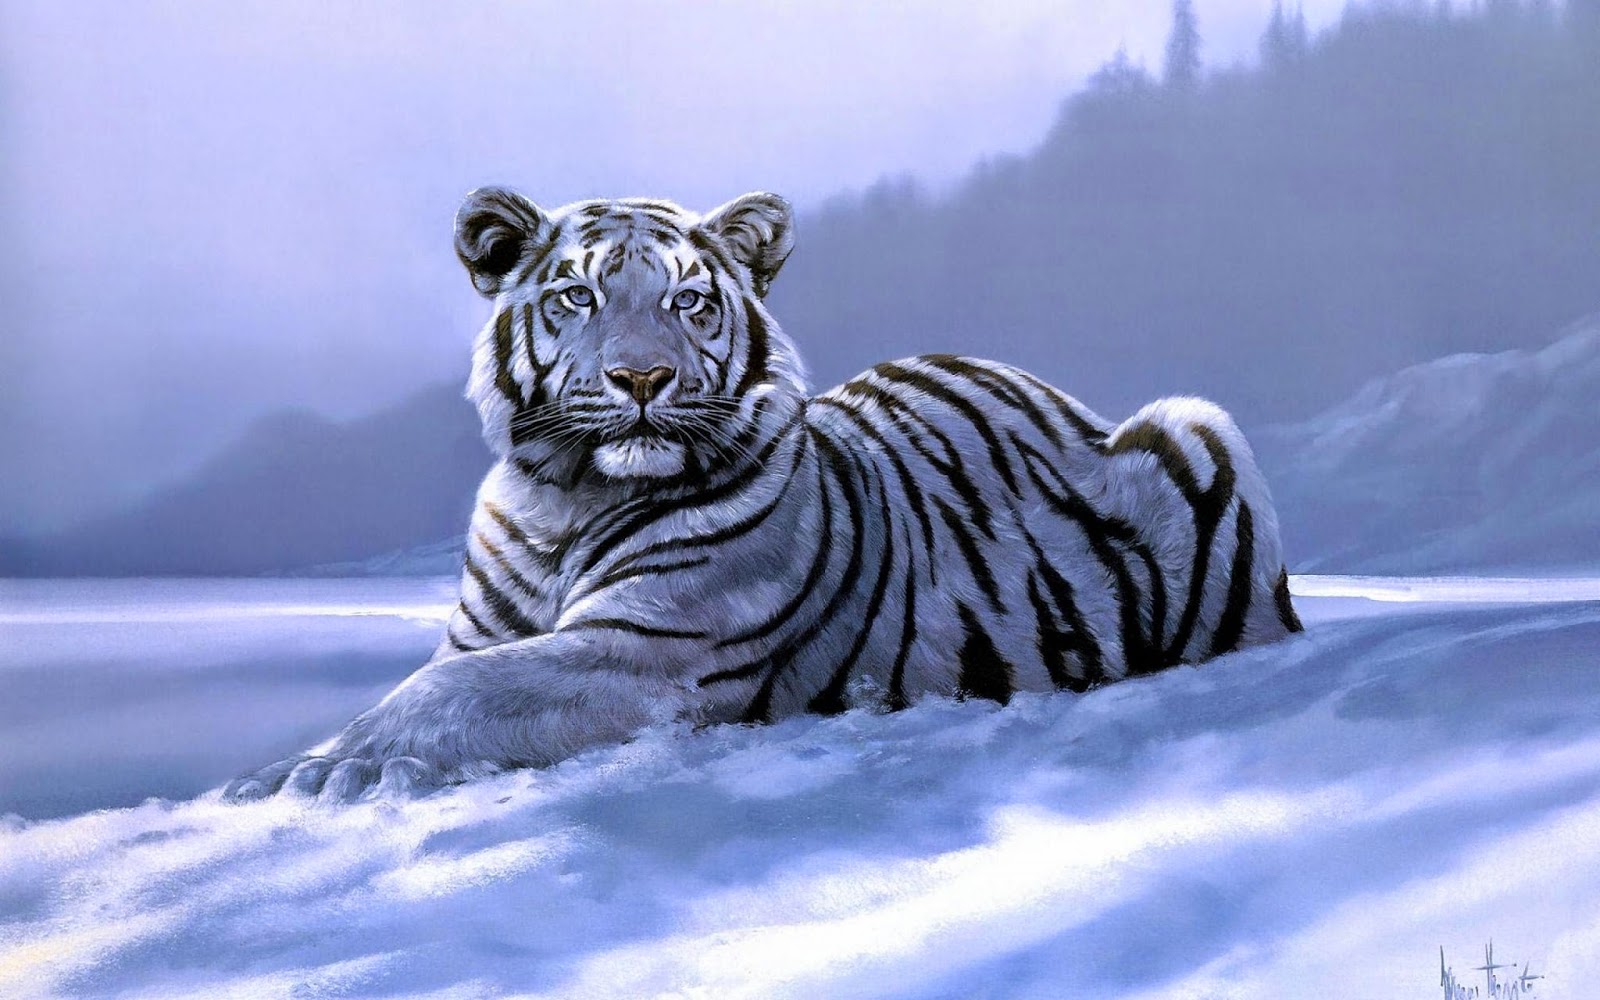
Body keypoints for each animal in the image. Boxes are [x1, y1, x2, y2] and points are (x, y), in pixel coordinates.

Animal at [225, 187, 1304, 802]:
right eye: (577, 296)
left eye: (689, 301)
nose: (642, 378)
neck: (563, 499)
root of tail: (1058, 392)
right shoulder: (486, 629)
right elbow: (440, 676)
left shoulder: (646, 648)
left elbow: (452, 690)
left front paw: (317, 770)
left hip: (1199, 426)